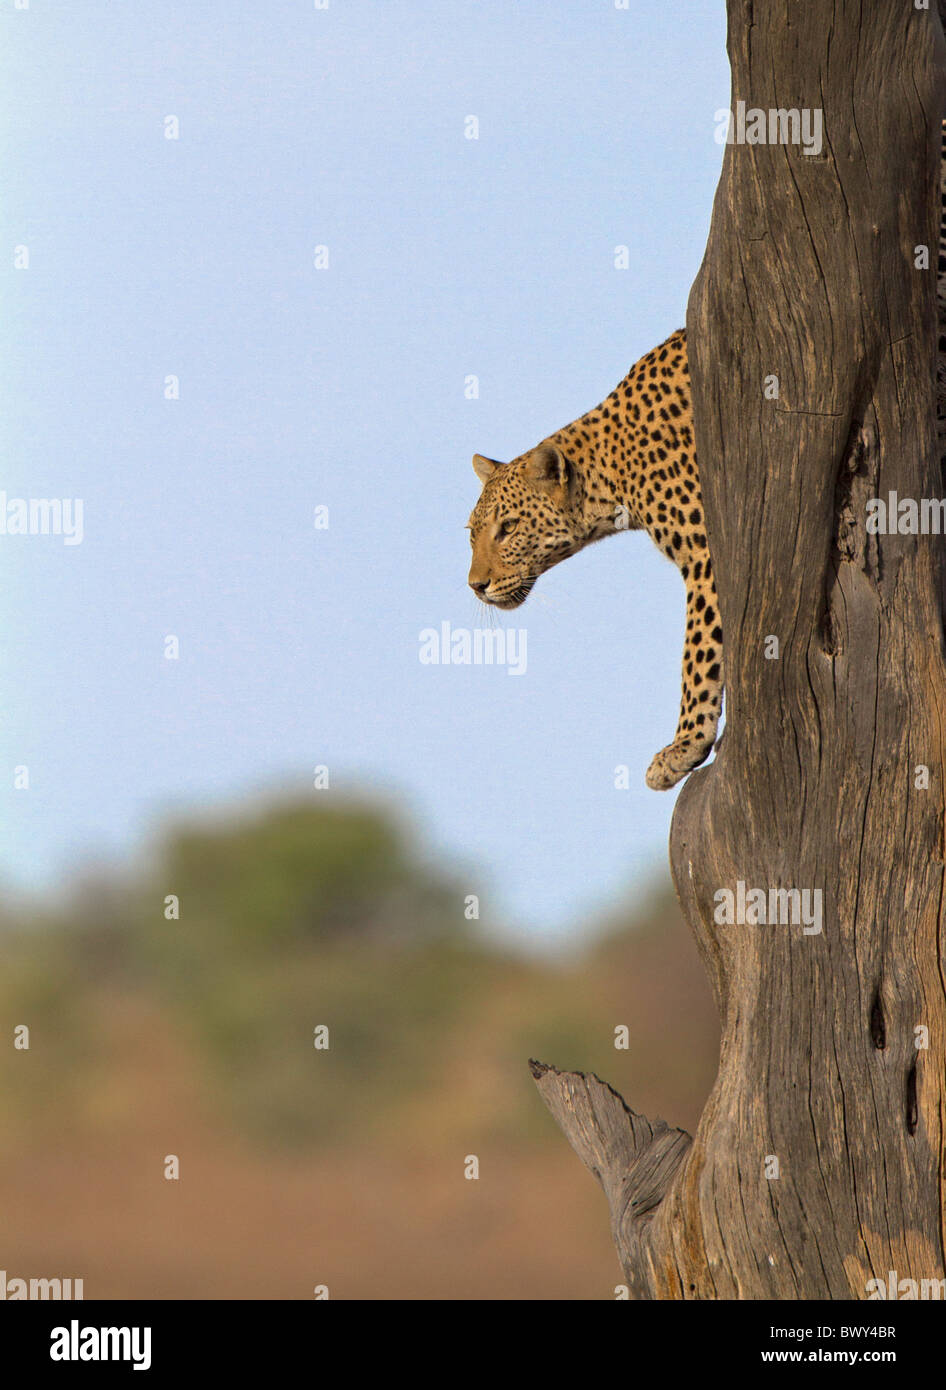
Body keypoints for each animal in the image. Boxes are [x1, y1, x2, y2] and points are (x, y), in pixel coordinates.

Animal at [466, 327, 722, 791]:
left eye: (508, 528)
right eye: (471, 533)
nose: (476, 586)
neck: (613, 468)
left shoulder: (703, 554)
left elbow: (698, 654)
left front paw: (684, 748)